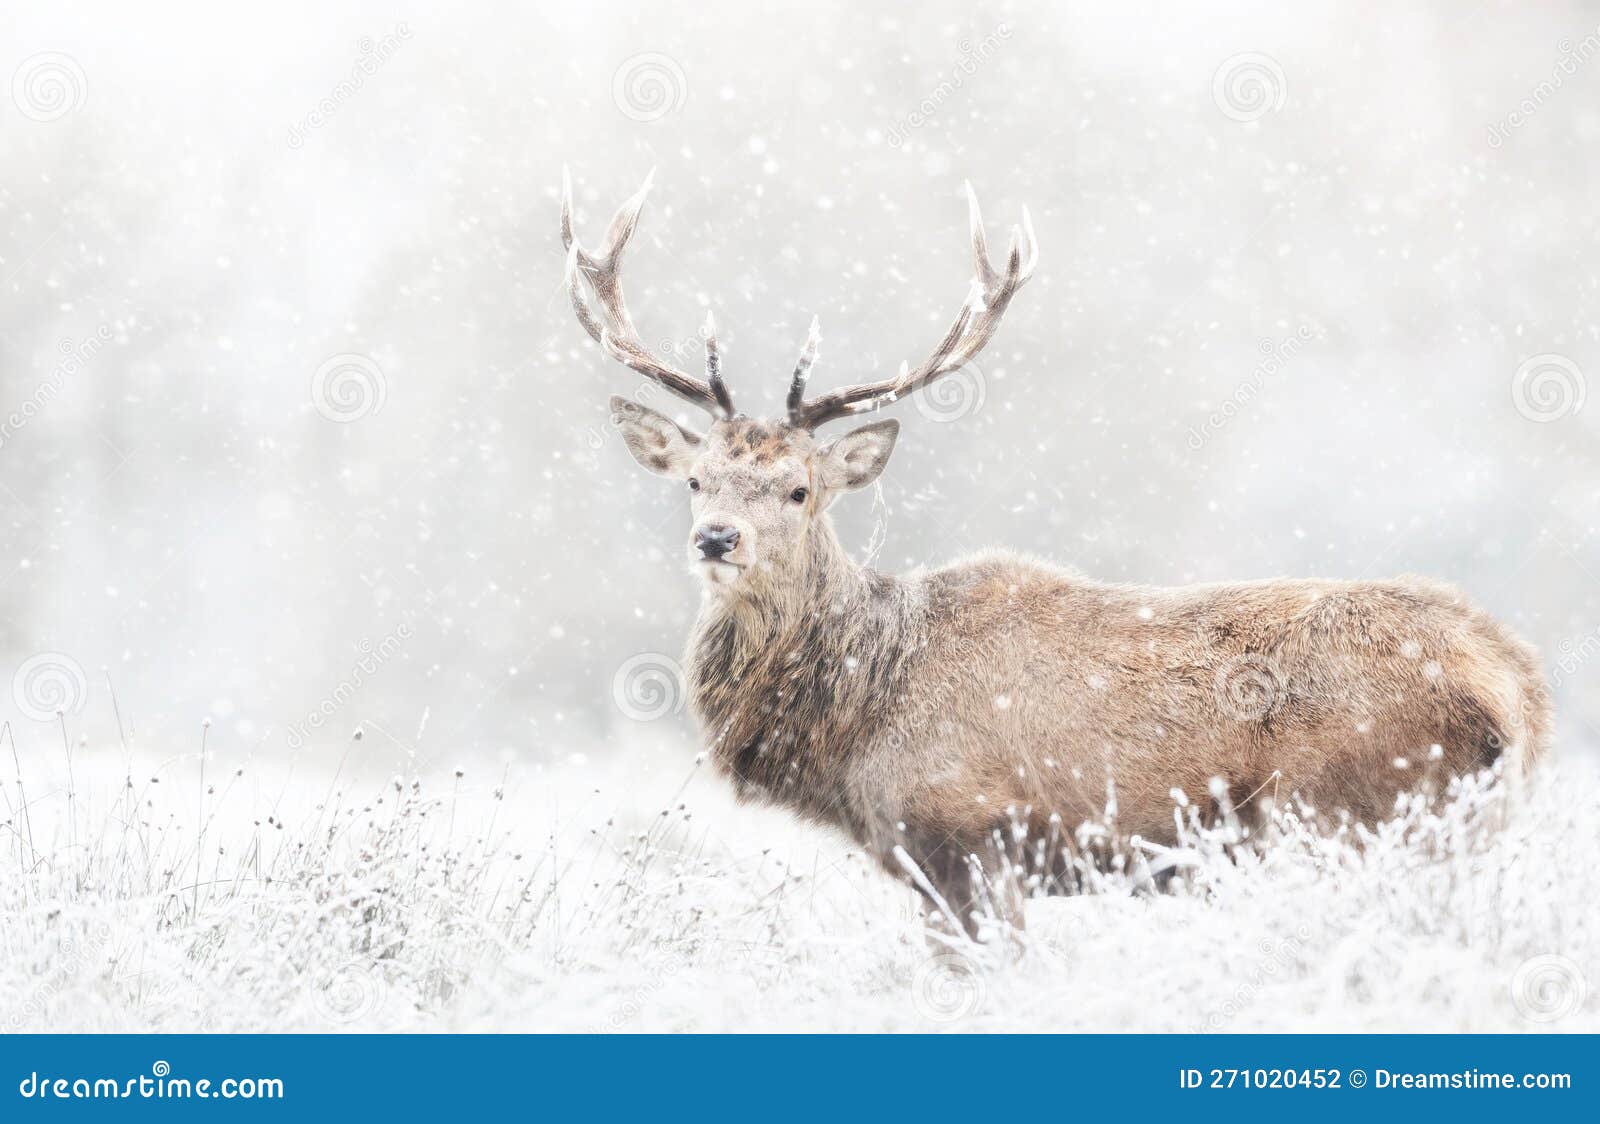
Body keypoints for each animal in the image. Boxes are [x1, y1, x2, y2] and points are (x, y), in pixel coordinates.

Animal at [562, 171, 1551, 939]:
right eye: (697, 480)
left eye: (800, 490)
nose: (717, 538)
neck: (854, 726)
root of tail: (1514, 690)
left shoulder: (968, 839)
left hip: (1352, 815)